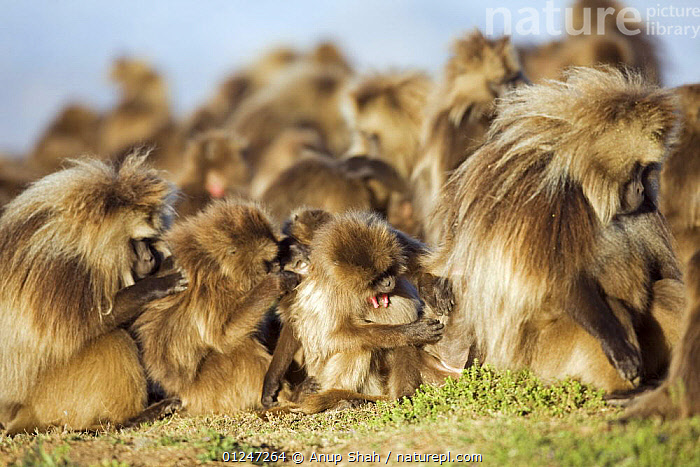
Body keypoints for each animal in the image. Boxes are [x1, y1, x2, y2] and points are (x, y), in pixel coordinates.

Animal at [0, 152, 187, 434]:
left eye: (150, 240)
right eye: (140, 241)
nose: (150, 258)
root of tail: (16, 416)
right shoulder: (62, 268)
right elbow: (81, 326)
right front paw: (159, 282)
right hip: (51, 399)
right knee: (113, 340)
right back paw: (132, 419)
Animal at [132, 199, 301, 414]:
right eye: (268, 261)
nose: (276, 266)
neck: (215, 261)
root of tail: (183, 394)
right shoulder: (211, 288)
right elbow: (222, 335)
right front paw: (276, 283)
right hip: (209, 390)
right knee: (239, 347)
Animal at [423, 67, 685, 394]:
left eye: (646, 169)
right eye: (636, 169)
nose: (641, 190)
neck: (592, 201)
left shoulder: (642, 214)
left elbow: (667, 272)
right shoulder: (552, 208)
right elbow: (564, 284)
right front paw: (620, 351)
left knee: (669, 289)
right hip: (550, 353)